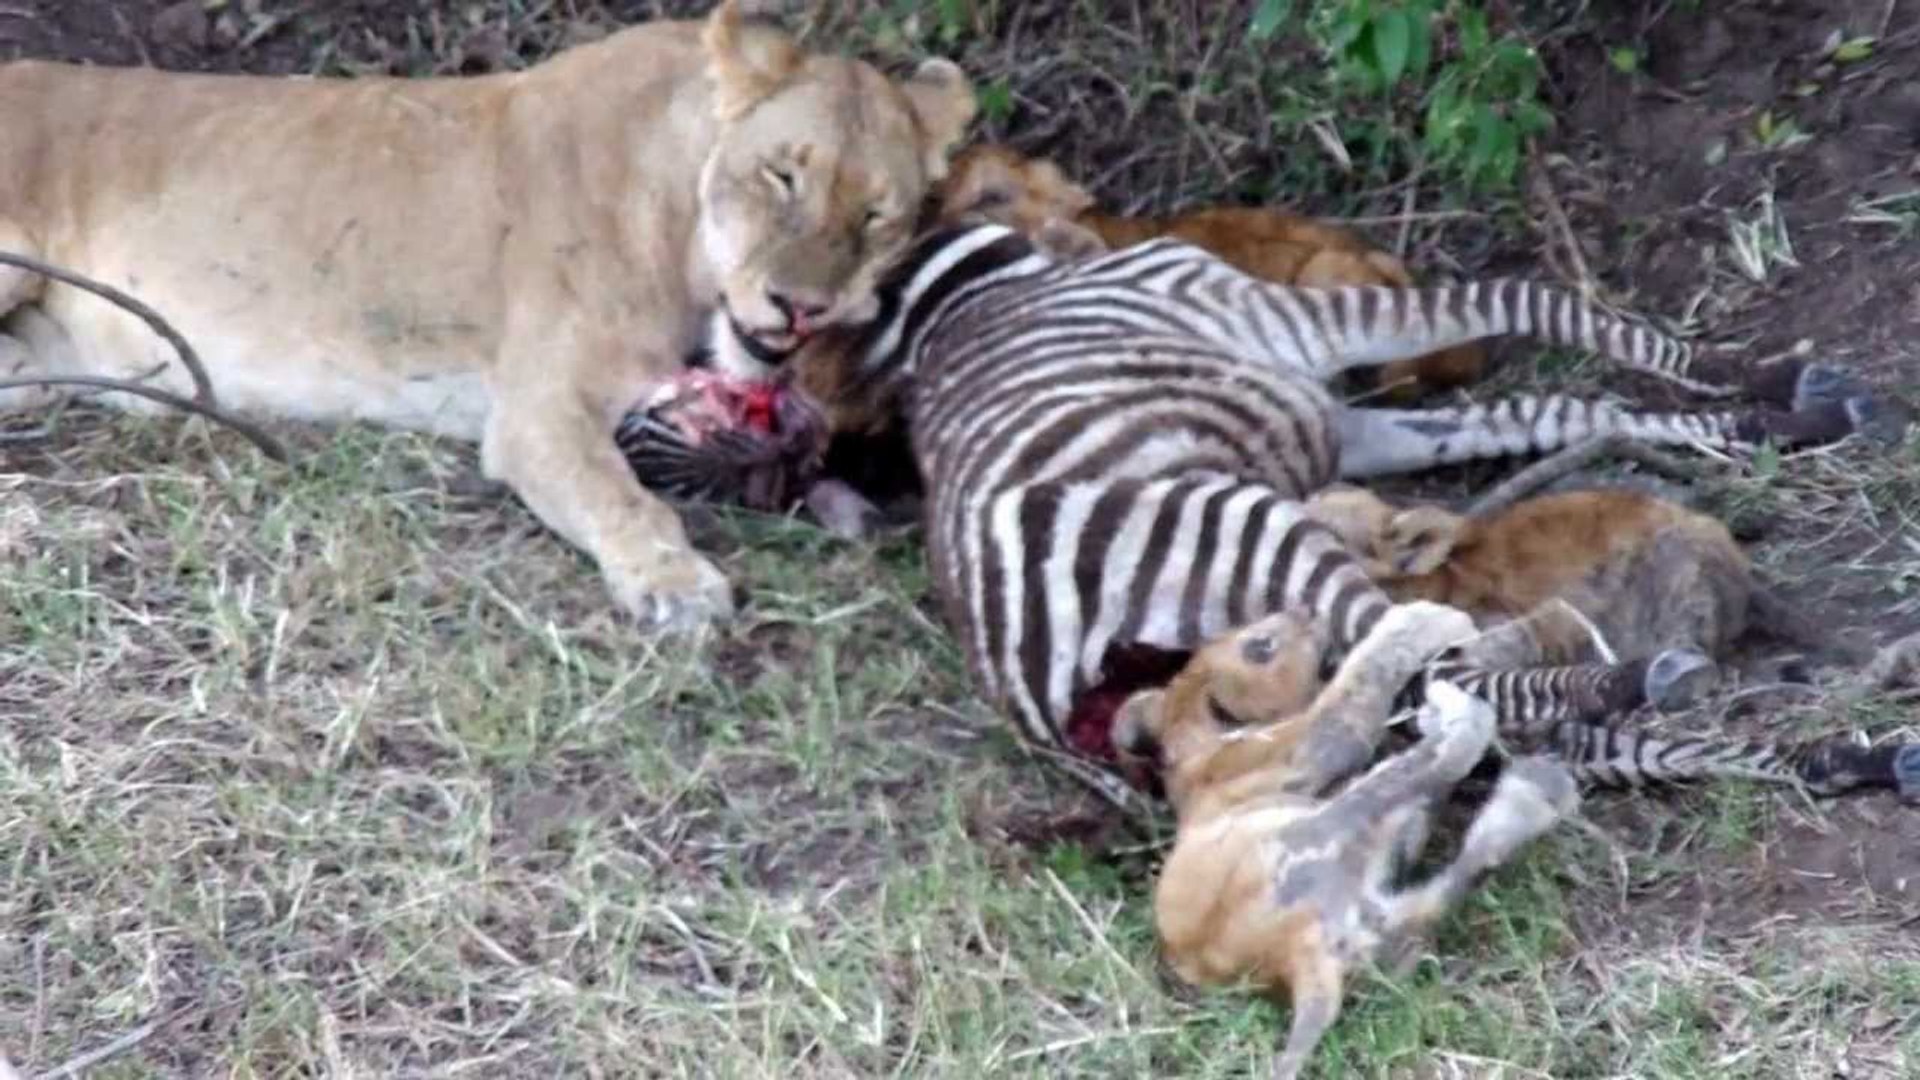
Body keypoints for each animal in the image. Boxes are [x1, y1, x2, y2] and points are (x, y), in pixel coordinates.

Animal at [0, 1, 975, 630]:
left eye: (877, 216)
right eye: (782, 176)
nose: (801, 306)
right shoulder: (539, 413)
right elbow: (620, 496)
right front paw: (674, 585)